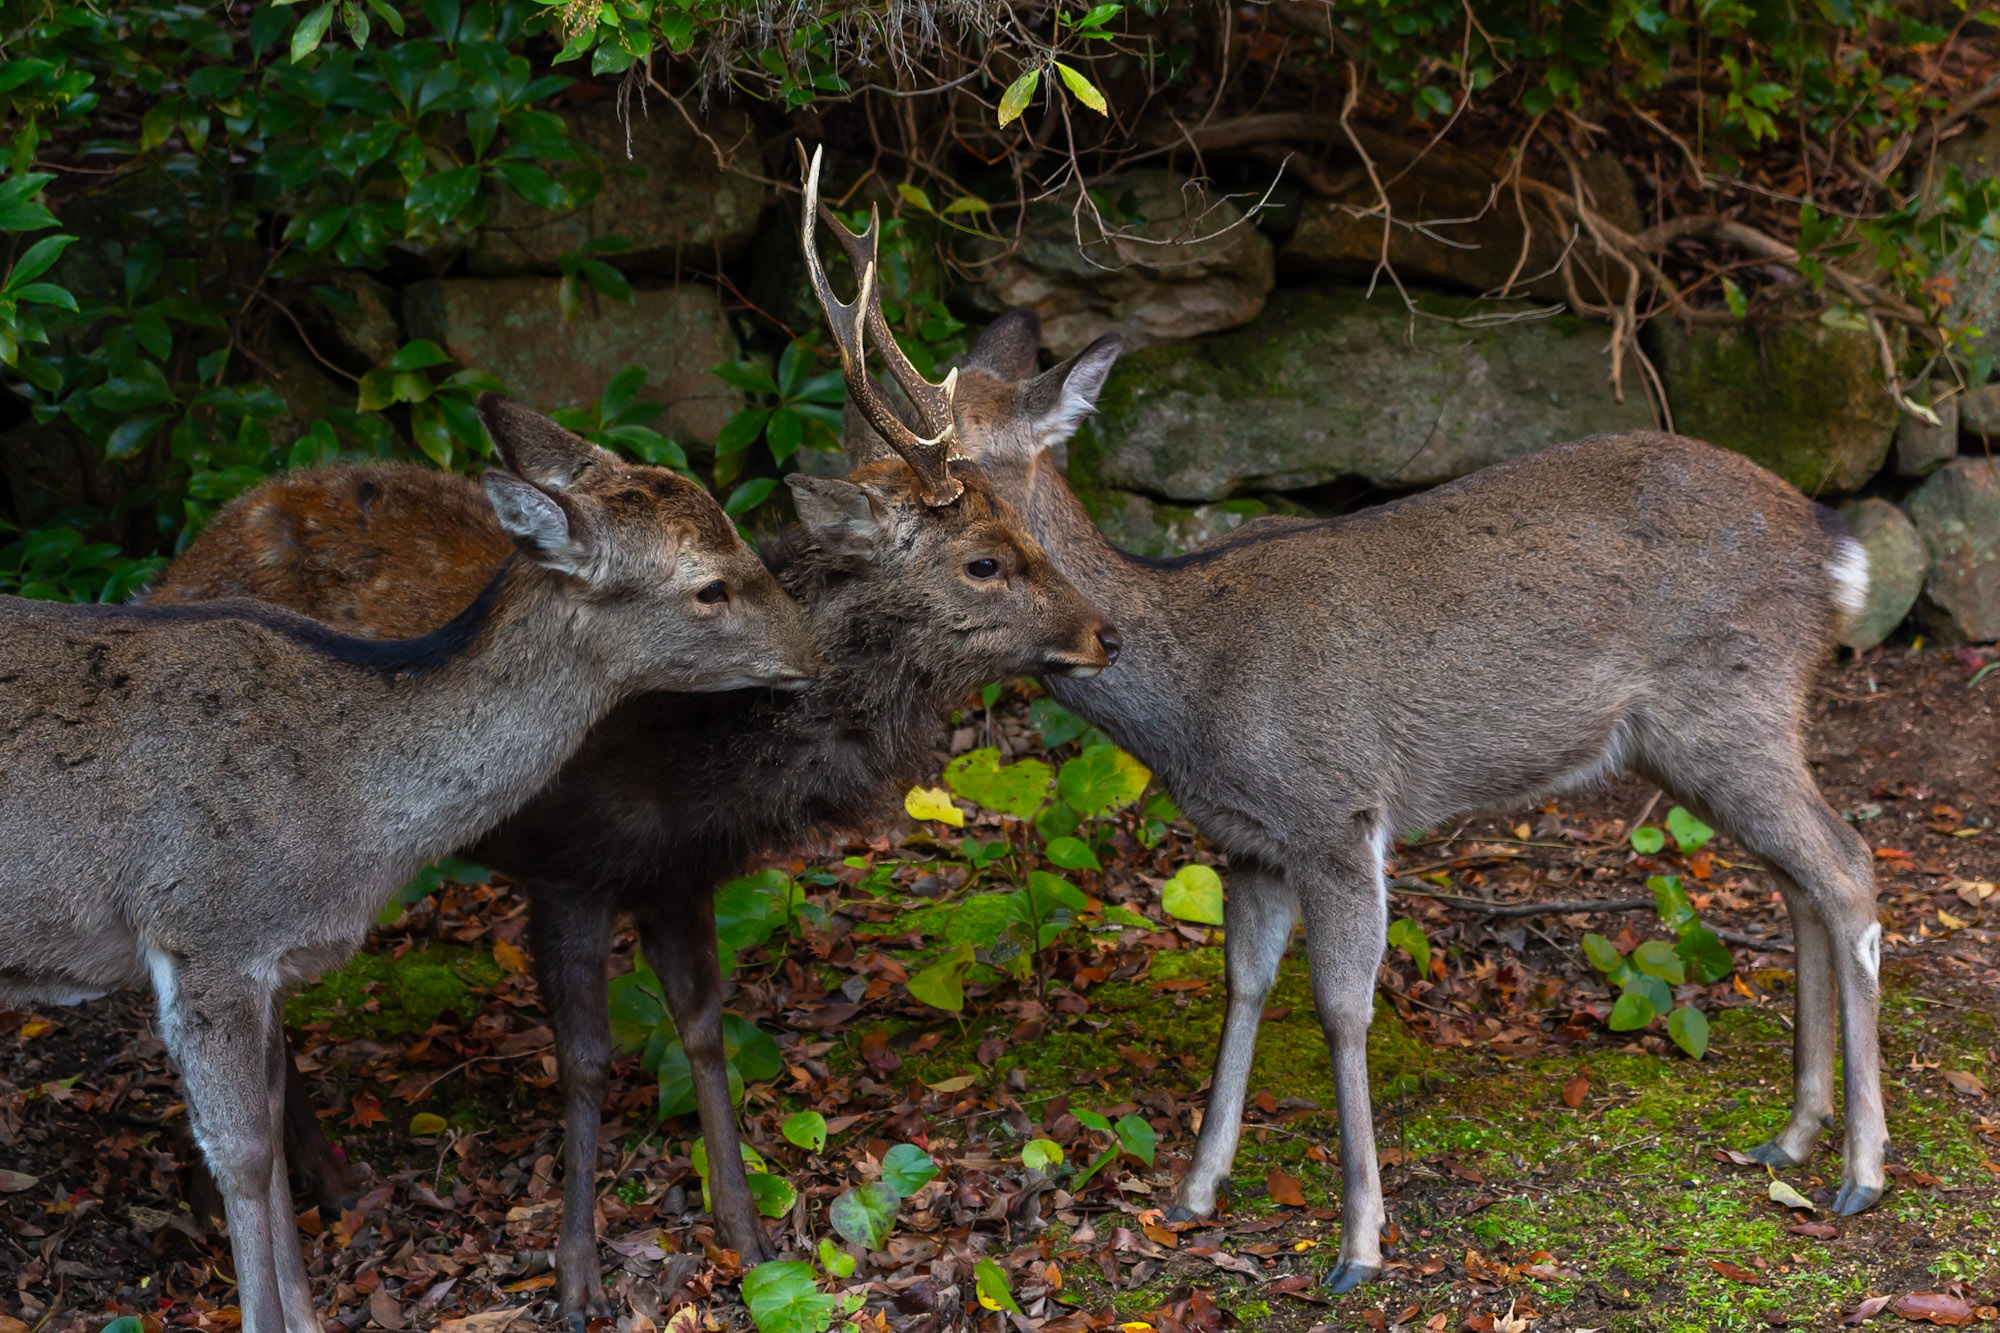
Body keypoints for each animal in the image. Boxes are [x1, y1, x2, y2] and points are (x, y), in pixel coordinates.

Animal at [0, 395, 820, 1333]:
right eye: (710, 586)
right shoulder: (206, 929)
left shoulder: (269, 956)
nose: (813, 653)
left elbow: (271, 1125)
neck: (350, 820)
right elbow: (242, 1152)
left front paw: (307, 1316)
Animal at [143, 148, 1119, 1326]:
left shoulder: (679, 872)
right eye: (981, 561)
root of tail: (178, 561)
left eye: (1027, 527)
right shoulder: (567, 862)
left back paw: (331, 1183)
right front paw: (575, 1275)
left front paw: (745, 1233)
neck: (695, 762)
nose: (1102, 632)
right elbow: (588, 1061)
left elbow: (702, 1029)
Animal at [859, 308, 1887, 1291]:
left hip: (1731, 707)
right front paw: (1194, 1191)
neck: (1190, 699)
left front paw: (1358, 1246)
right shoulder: (1248, 842)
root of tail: (1836, 549)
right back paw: (1792, 1134)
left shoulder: (1336, 810)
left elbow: (1341, 1008)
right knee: (1798, 878)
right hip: (1693, 743)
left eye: (956, 478)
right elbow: (1244, 984)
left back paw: (1861, 1171)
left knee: (1846, 865)